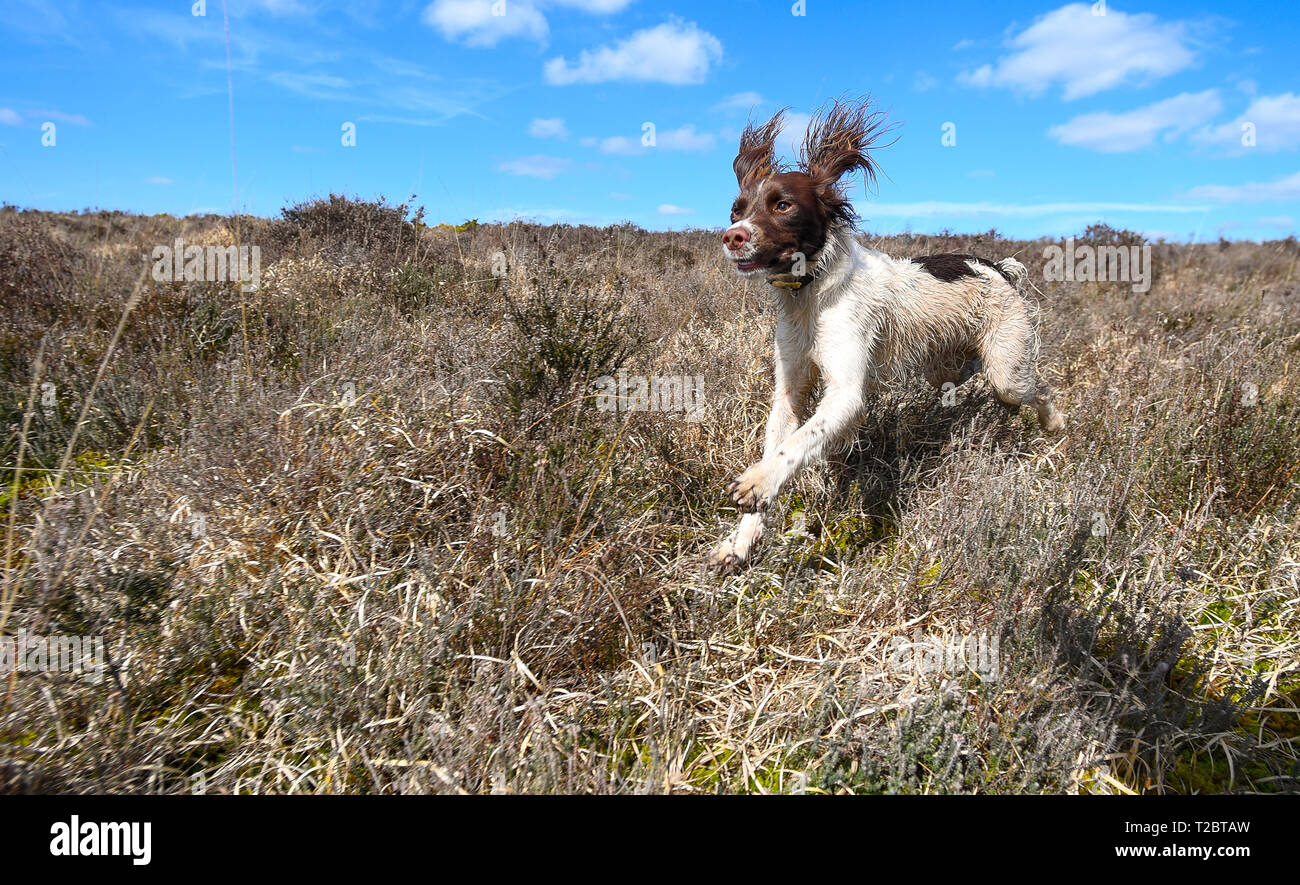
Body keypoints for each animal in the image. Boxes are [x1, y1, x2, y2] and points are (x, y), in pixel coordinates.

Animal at [712, 100, 1066, 569]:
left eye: (782, 204)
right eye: (737, 209)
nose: (732, 236)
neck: (812, 292)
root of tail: (998, 267)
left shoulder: (846, 393)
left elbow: (798, 443)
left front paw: (758, 483)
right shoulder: (789, 390)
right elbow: (779, 442)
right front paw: (742, 539)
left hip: (1008, 368)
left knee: (1036, 388)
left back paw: (1053, 424)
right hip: (947, 367)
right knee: (973, 377)